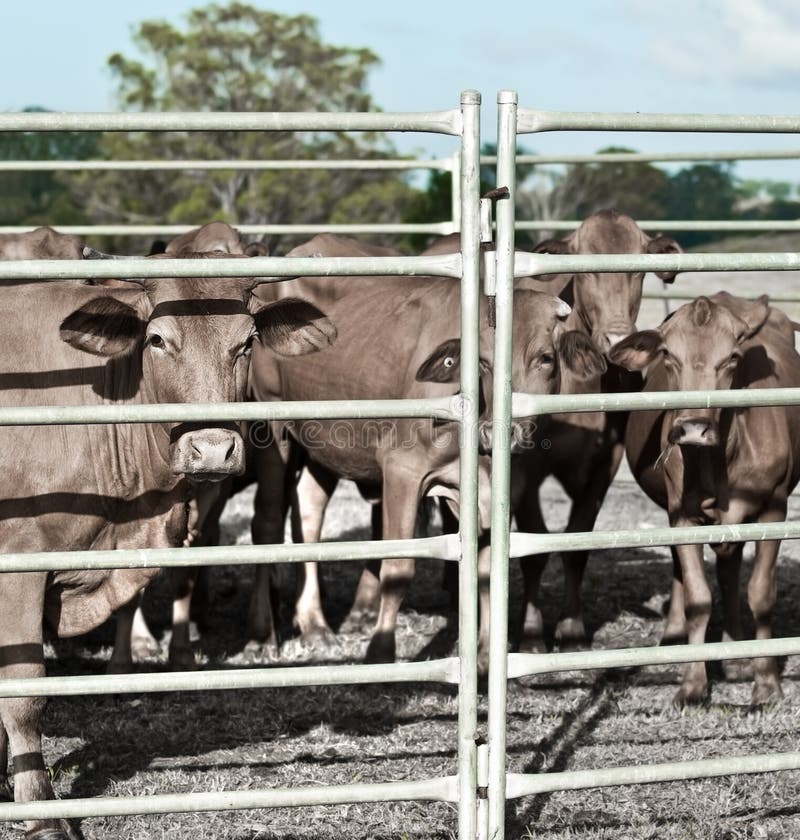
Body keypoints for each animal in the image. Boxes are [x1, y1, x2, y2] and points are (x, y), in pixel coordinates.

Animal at [0, 256, 335, 839]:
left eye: (247, 341)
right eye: (157, 339)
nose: (213, 450)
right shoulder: (19, 566)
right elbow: (24, 694)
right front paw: (39, 812)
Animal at [242, 233, 606, 672]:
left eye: (545, 358)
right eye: (482, 362)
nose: (496, 432)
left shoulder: (495, 491)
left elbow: (486, 571)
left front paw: (484, 656)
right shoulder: (402, 470)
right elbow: (398, 568)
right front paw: (381, 651)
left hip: (322, 444)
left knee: (308, 516)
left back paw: (315, 625)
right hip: (273, 428)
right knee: (266, 523)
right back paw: (261, 636)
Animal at [509, 209, 682, 653]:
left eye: (639, 268)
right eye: (585, 267)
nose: (617, 337)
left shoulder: (605, 462)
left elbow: (575, 545)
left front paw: (571, 630)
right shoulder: (524, 466)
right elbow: (534, 550)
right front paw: (531, 634)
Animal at [609, 292, 800, 706]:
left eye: (732, 357)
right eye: (668, 355)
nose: (694, 428)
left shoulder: (774, 508)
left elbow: (761, 594)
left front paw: (766, 683)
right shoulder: (681, 515)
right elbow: (698, 598)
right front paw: (693, 684)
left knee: (730, 572)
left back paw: (736, 654)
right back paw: (676, 638)